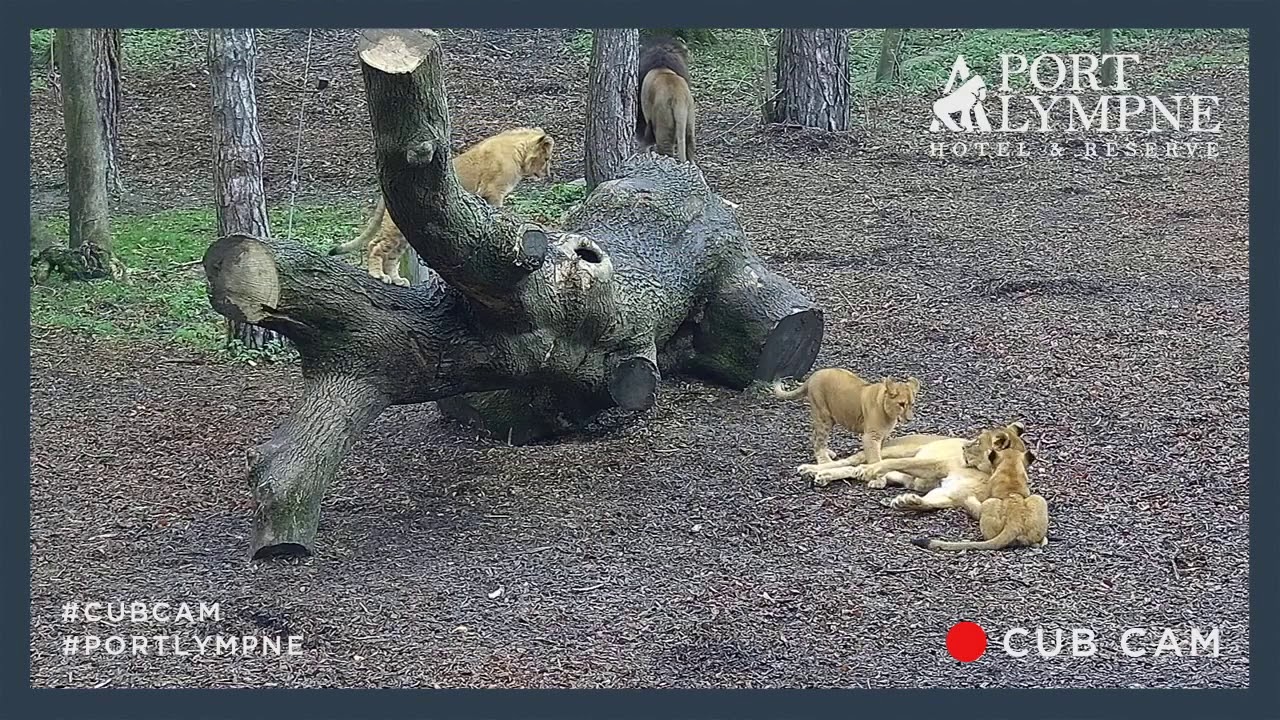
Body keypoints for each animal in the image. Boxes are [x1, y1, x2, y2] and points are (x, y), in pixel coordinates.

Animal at [329, 127, 555, 286]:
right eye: (546, 159)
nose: (548, 175)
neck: (518, 154)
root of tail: (385, 193)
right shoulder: (493, 192)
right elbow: (497, 211)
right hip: (394, 228)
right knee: (374, 245)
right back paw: (377, 275)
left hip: (404, 233)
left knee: (392, 256)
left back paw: (396, 280)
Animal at [637, 35, 697, 164]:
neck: (661, 67)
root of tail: (678, 97)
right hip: (690, 122)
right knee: (690, 148)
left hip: (663, 125)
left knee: (666, 150)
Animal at [771, 368, 921, 468]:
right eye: (901, 404)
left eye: (912, 404)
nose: (910, 419)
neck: (889, 415)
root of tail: (814, 375)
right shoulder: (870, 436)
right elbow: (875, 457)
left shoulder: (883, 436)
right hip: (824, 416)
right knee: (819, 441)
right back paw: (825, 461)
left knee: (814, 436)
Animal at [911, 425, 1049, 552]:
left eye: (978, 442)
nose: (963, 447)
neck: (1011, 466)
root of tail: (1014, 524)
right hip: (1039, 500)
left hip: (989, 503)